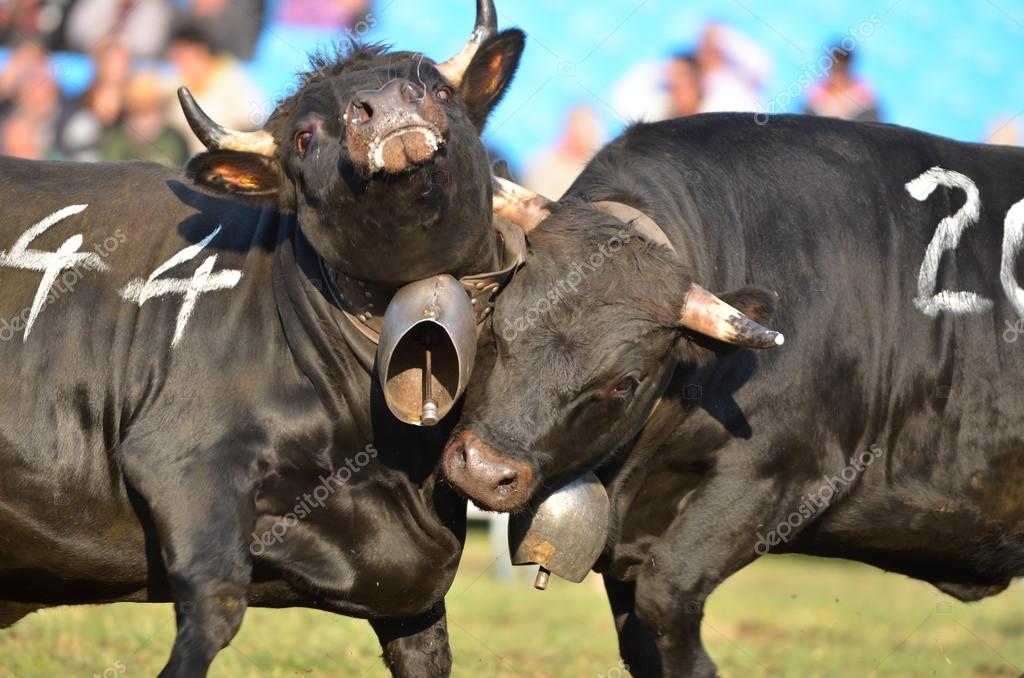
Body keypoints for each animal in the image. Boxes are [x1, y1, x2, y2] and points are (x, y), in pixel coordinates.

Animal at [0, 2, 525, 675]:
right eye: (304, 137)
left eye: (438, 89)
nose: (385, 104)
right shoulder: (185, 460)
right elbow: (216, 605)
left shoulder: (411, 580)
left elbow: (427, 652)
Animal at [441, 113, 1024, 676]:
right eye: (498, 322)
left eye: (624, 381)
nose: (484, 471)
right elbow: (639, 640)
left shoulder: (783, 476)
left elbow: (666, 592)